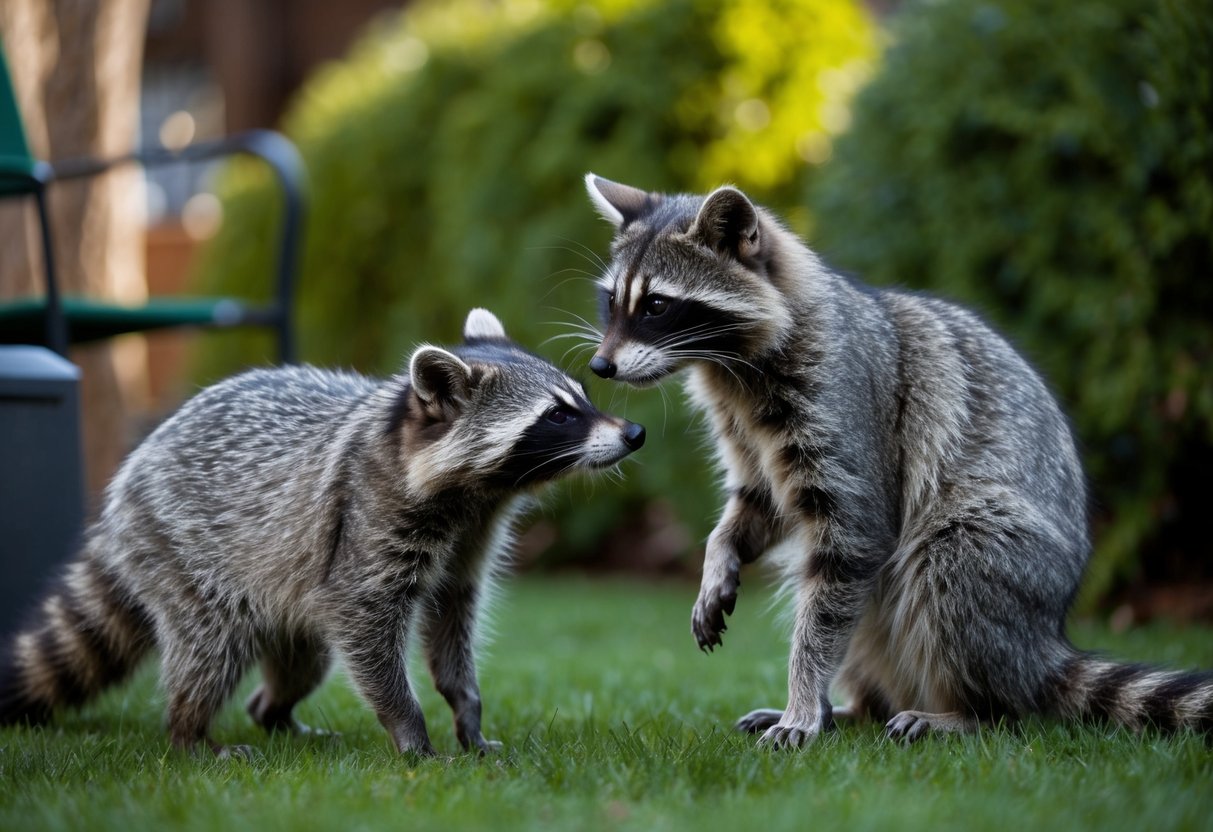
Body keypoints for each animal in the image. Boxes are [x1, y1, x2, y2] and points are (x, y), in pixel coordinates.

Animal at [0, 308, 645, 757]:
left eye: (582, 396)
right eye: (557, 415)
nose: (634, 433)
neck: (477, 493)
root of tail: (123, 492)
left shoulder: (471, 538)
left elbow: (452, 618)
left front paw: (468, 714)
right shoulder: (368, 517)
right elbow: (365, 621)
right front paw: (412, 733)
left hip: (282, 592)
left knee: (301, 662)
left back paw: (274, 715)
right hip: (181, 549)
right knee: (210, 649)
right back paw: (190, 733)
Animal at [581, 174, 1213, 747]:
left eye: (657, 305)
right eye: (612, 300)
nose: (600, 367)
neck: (727, 365)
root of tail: (1045, 644)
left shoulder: (845, 402)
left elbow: (852, 540)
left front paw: (803, 700)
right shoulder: (744, 431)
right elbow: (759, 502)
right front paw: (719, 554)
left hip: (1006, 564)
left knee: (950, 566)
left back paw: (971, 712)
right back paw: (854, 707)